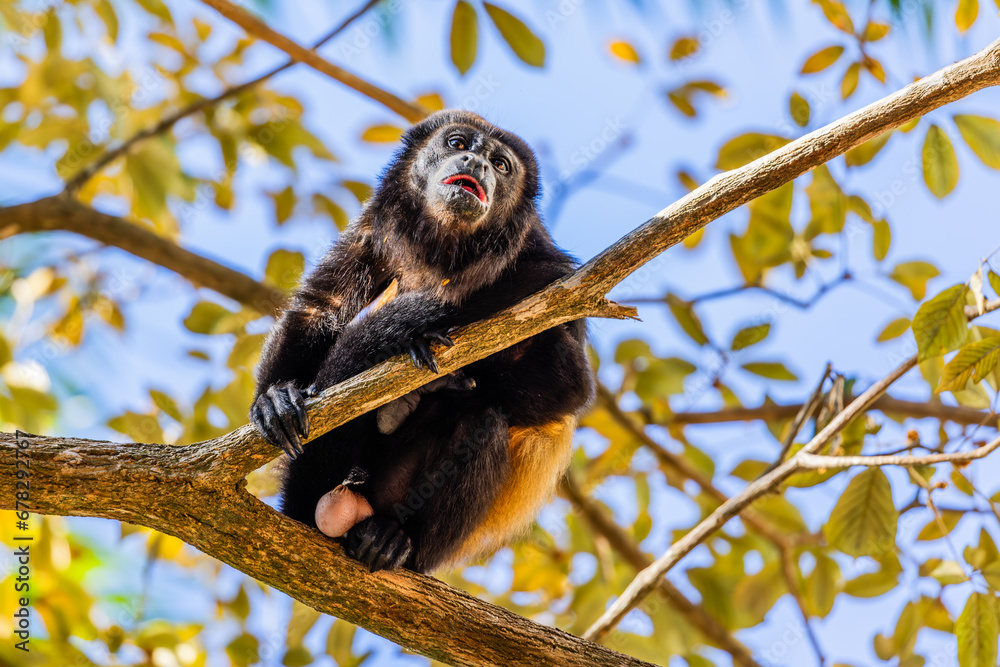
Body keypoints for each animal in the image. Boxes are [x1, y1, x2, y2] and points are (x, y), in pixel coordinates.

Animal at [250, 109, 593, 573]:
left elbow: (568, 386)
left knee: (483, 419)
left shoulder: (539, 257)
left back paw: (396, 539)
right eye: (457, 143)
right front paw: (273, 397)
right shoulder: (374, 225)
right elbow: (321, 305)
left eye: (501, 165)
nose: (476, 163)